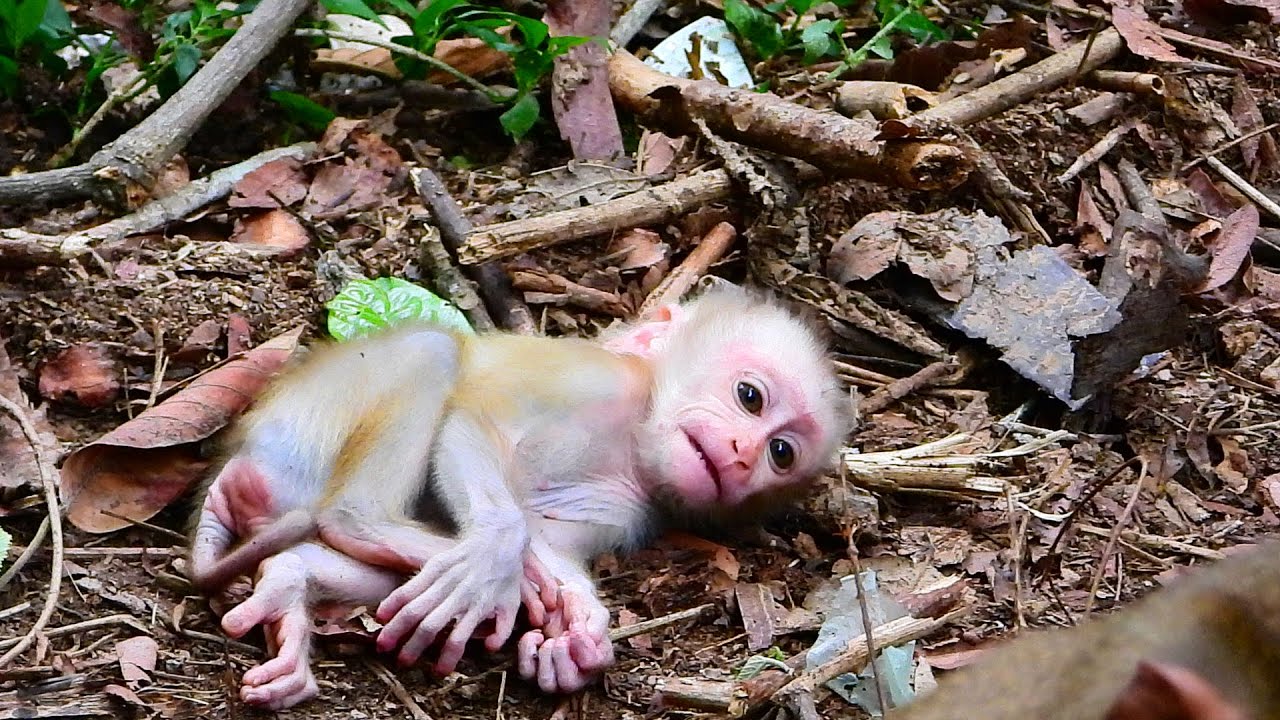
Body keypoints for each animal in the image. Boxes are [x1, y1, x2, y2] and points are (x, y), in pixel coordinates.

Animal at [186, 283, 853, 709]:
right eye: (750, 397)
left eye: (781, 453)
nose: (742, 454)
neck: (634, 431)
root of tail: (238, 462)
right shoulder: (596, 383)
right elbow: (472, 429)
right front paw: (498, 556)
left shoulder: (633, 499)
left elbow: (551, 540)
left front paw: (579, 634)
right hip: (306, 427)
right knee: (432, 354)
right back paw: (386, 531)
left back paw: (289, 588)